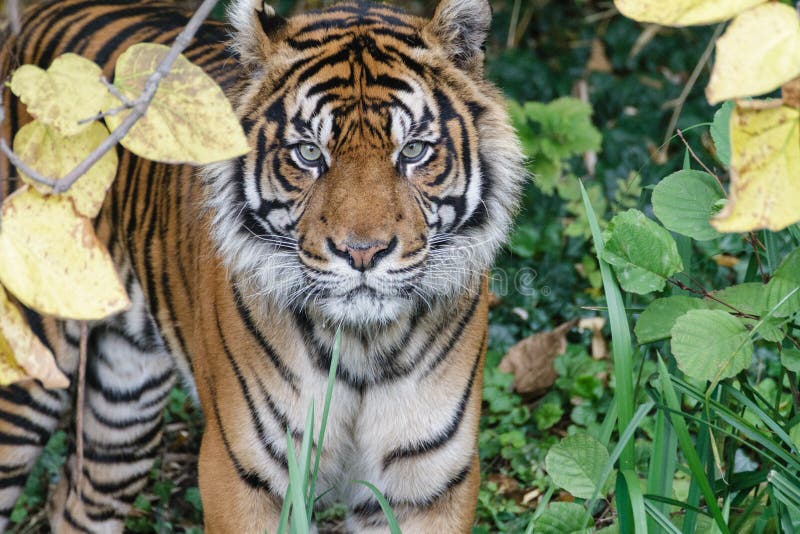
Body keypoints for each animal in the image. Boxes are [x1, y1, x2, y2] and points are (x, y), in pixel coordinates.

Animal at [0, 0, 524, 531]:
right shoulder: (242, 476)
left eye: (413, 150)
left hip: (125, 401)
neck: (362, 347)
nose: (362, 252)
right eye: (309, 153)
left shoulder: (431, 486)